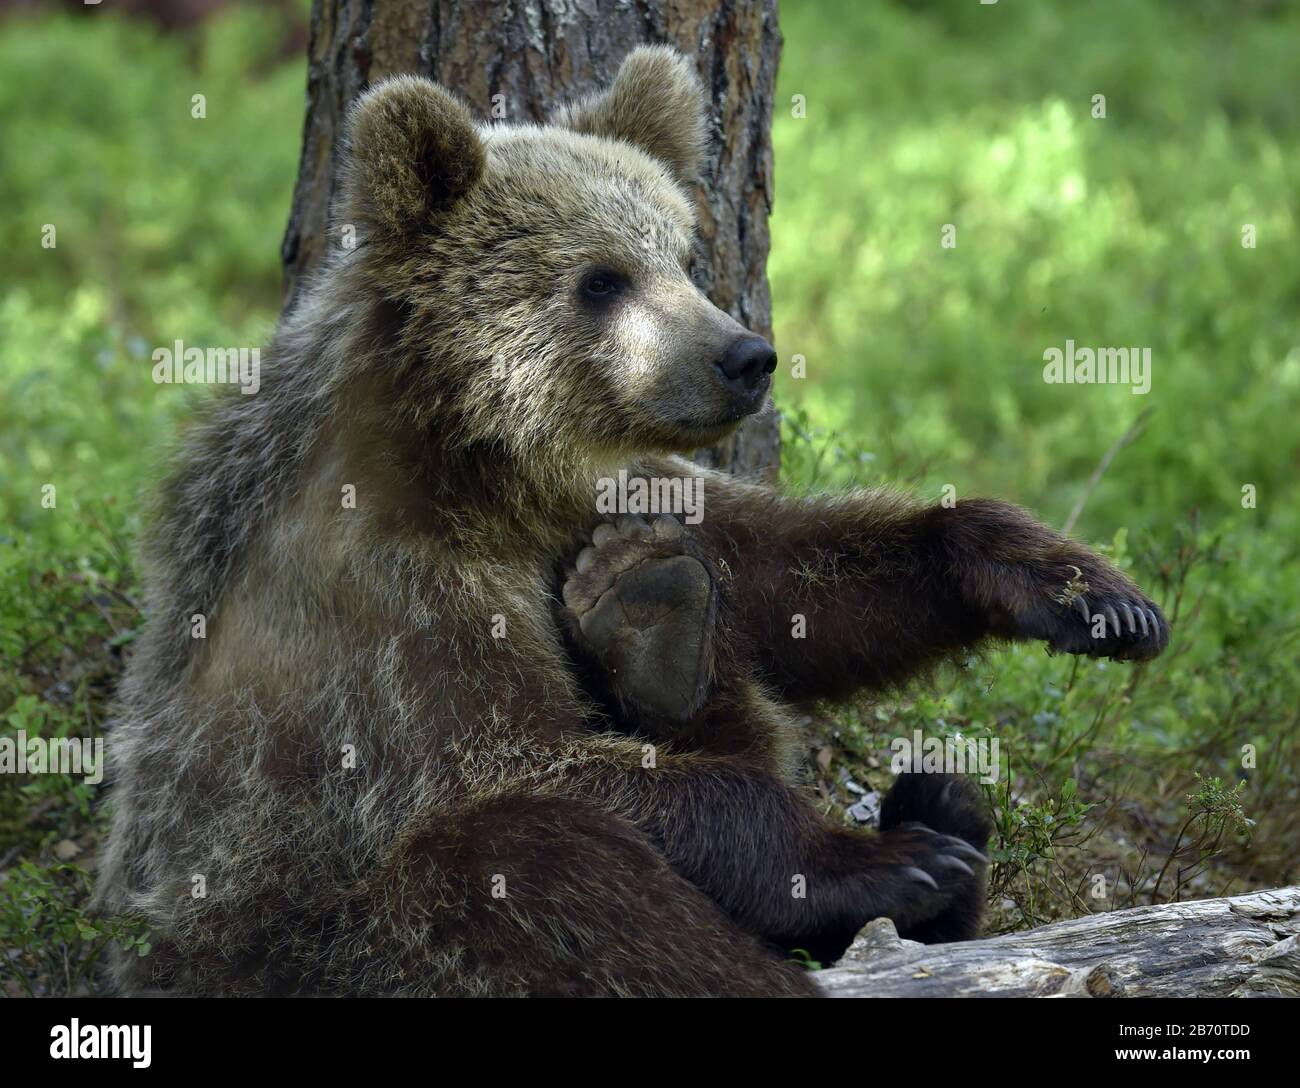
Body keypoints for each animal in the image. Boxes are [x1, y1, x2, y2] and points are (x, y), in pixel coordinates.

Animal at [96, 46, 1169, 997]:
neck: (487, 462)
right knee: (528, 862)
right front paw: (876, 861)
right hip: (307, 944)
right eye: (601, 278)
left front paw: (1087, 593)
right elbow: (514, 766)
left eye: (684, 253)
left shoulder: (620, 495)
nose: (745, 356)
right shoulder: (383, 601)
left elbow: (800, 579)